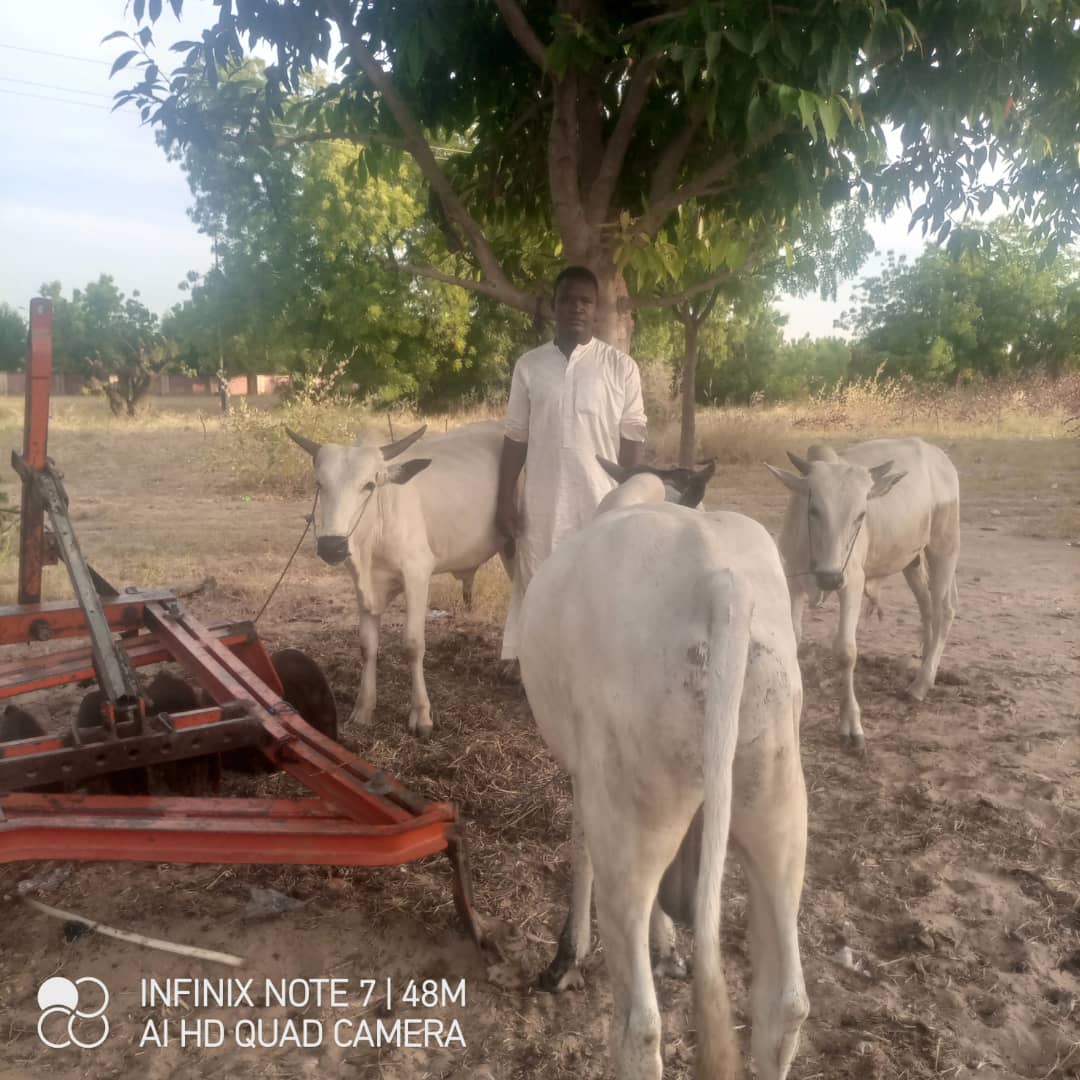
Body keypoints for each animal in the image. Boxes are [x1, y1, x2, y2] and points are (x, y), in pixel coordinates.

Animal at [286, 420, 512, 738]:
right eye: (320, 485)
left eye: (369, 485)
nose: (332, 546)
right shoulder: (363, 585)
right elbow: (367, 645)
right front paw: (363, 708)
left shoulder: (417, 575)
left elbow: (413, 645)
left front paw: (422, 715)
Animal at [518, 500, 809, 1080]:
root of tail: (721, 582)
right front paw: (669, 946)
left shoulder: (588, 773)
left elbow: (579, 846)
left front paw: (567, 956)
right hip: (778, 804)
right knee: (785, 1003)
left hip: (630, 817)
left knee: (640, 1026)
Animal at [767, 437, 960, 749]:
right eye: (814, 509)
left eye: (861, 515)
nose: (830, 578)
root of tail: (939, 456)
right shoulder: (793, 583)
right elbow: (793, 641)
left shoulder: (852, 583)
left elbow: (846, 652)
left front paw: (851, 725)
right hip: (911, 560)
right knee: (927, 607)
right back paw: (923, 665)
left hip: (944, 546)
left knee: (944, 610)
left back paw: (921, 684)